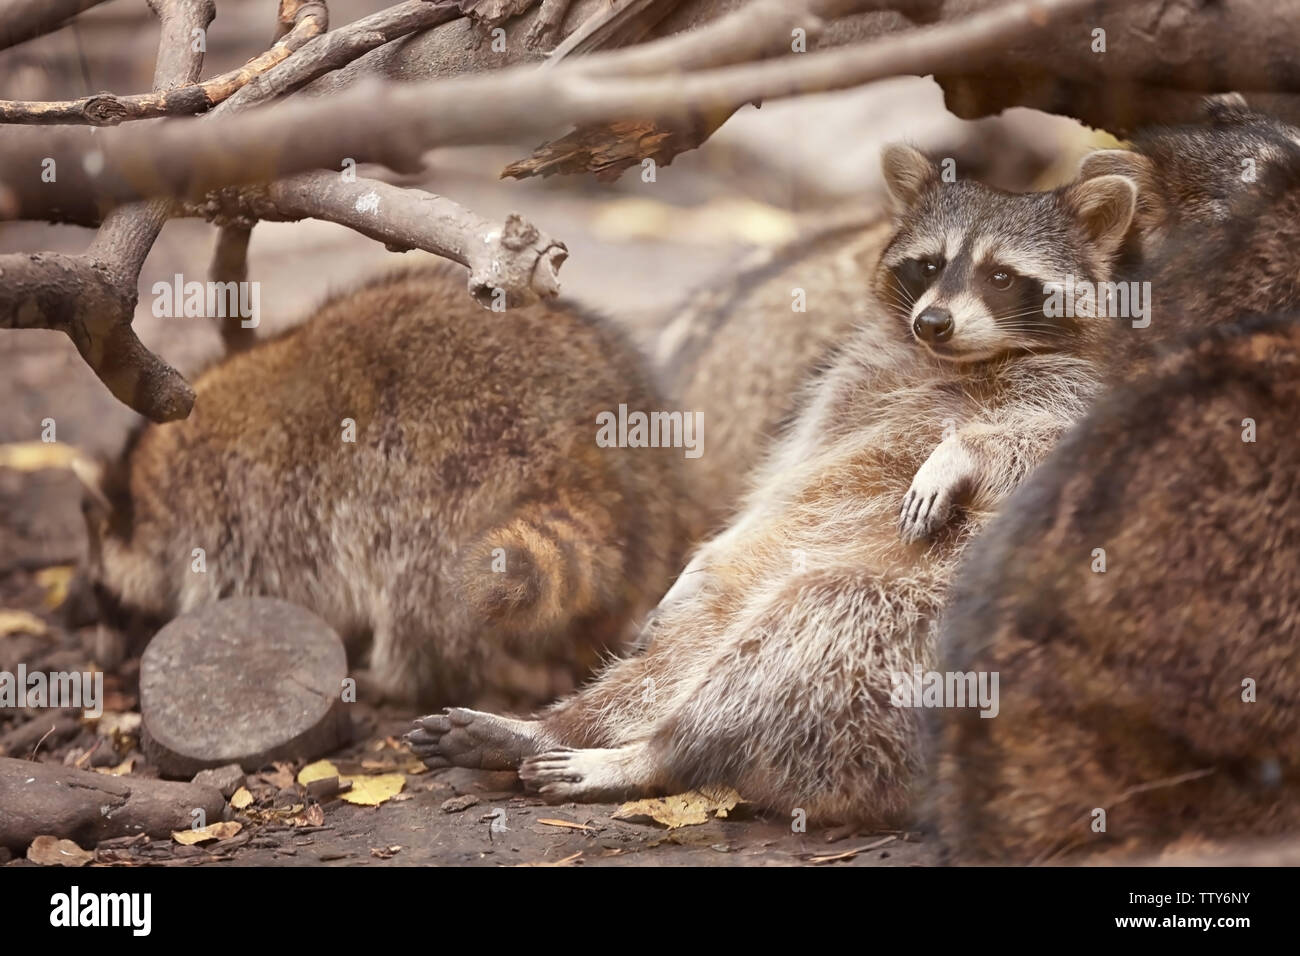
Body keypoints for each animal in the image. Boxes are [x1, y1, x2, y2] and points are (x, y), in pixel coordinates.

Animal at [72, 266, 689, 708]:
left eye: (104, 593)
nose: (102, 658)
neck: (154, 485)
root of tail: (582, 447)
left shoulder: (243, 520)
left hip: (445, 486)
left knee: (414, 596)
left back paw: (396, 677)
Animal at [407, 146, 1138, 823]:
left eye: (1000, 275)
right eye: (929, 264)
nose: (933, 322)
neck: (955, 361)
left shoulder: (1080, 393)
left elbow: (1050, 454)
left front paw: (963, 452)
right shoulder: (845, 387)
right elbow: (778, 483)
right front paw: (701, 556)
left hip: (922, 650)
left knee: (808, 625)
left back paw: (655, 753)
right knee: (689, 643)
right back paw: (557, 727)